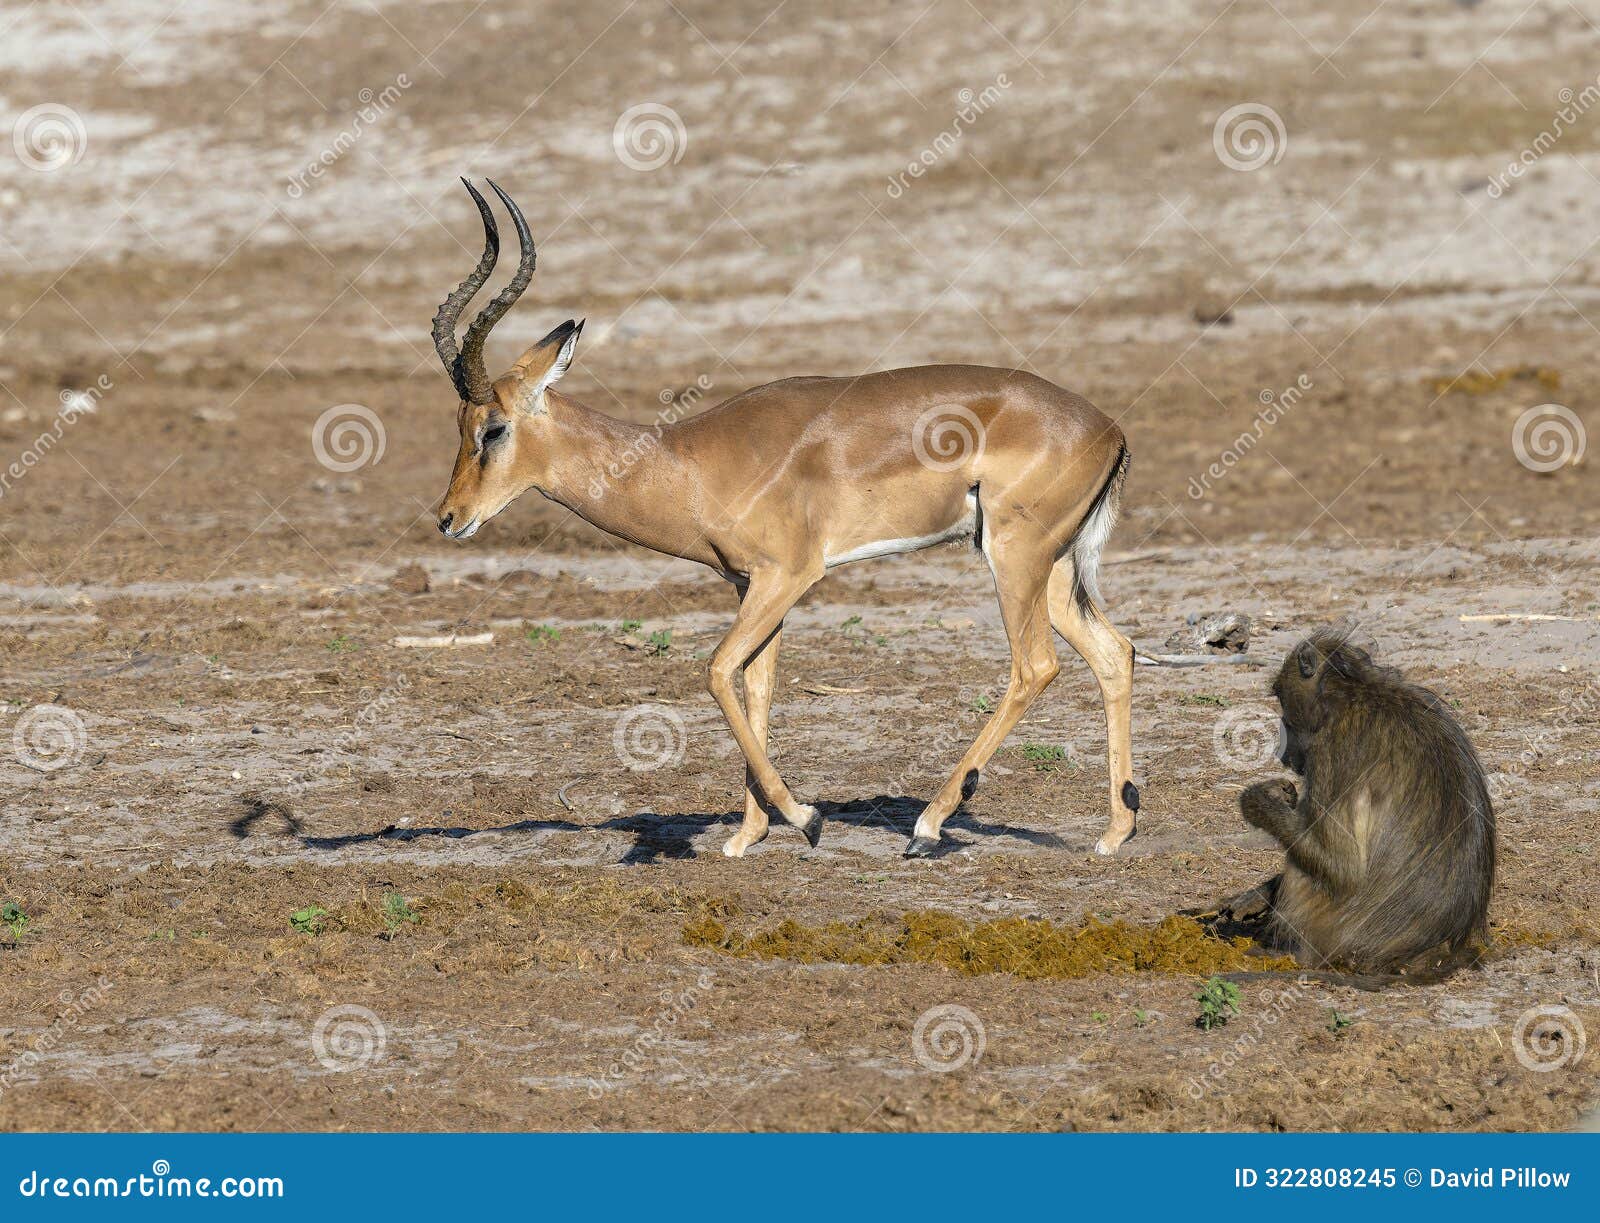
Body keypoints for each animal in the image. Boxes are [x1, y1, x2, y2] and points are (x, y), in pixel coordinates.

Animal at [430, 180, 1139, 860]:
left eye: (494, 428)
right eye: (459, 425)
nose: (448, 517)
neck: (687, 462)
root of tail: (1109, 428)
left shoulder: (790, 576)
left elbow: (718, 672)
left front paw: (806, 819)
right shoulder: (754, 586)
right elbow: (757, 687)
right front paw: (748, 836)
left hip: (1015, 558)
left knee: (1035, 665)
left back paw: (928, 827)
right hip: (1049, 568)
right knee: (1115, 652)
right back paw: (1114, 832)